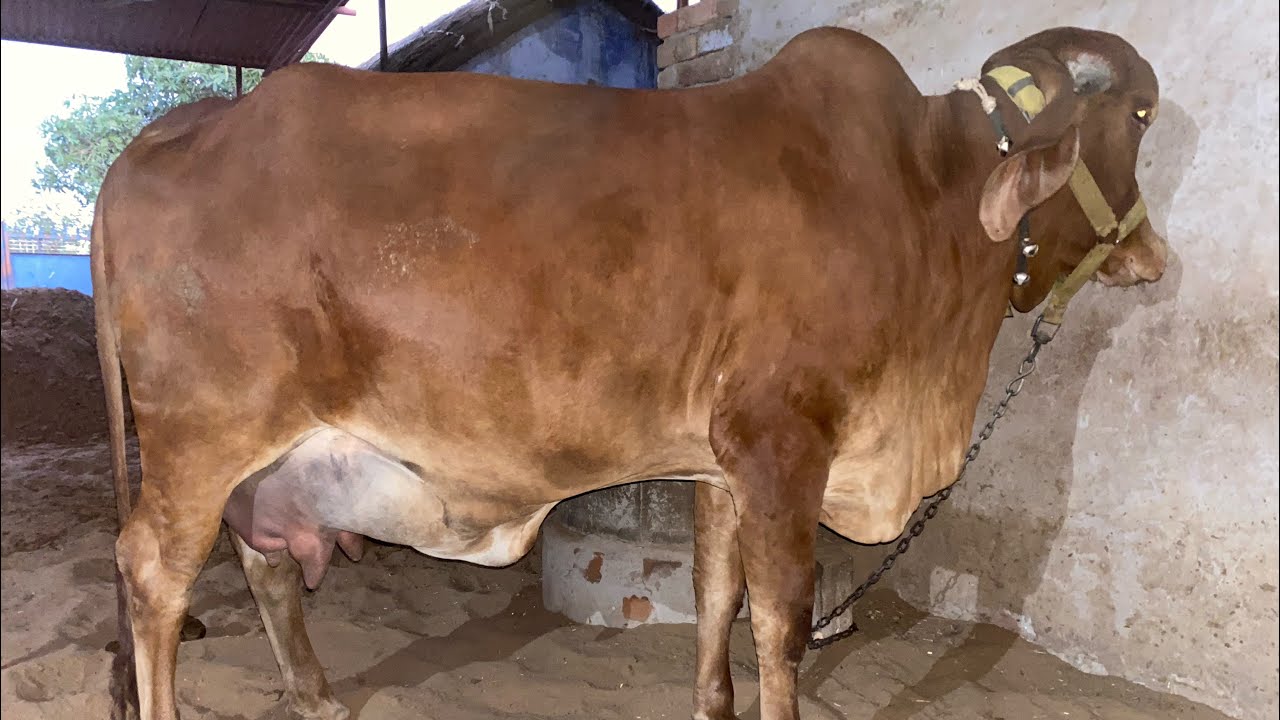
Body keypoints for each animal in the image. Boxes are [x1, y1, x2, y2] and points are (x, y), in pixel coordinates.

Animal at [93, 25, 1166, 720]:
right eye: (1142, 121)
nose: (1153, 254)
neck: (922, 193)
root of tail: (180, 125)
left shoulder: (721, 464)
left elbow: (716, 596)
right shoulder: (784, 443)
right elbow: (781, 621)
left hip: (267, 459)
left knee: (264, 562)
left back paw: (316, 698)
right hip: (201, 437)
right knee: (153, 571)